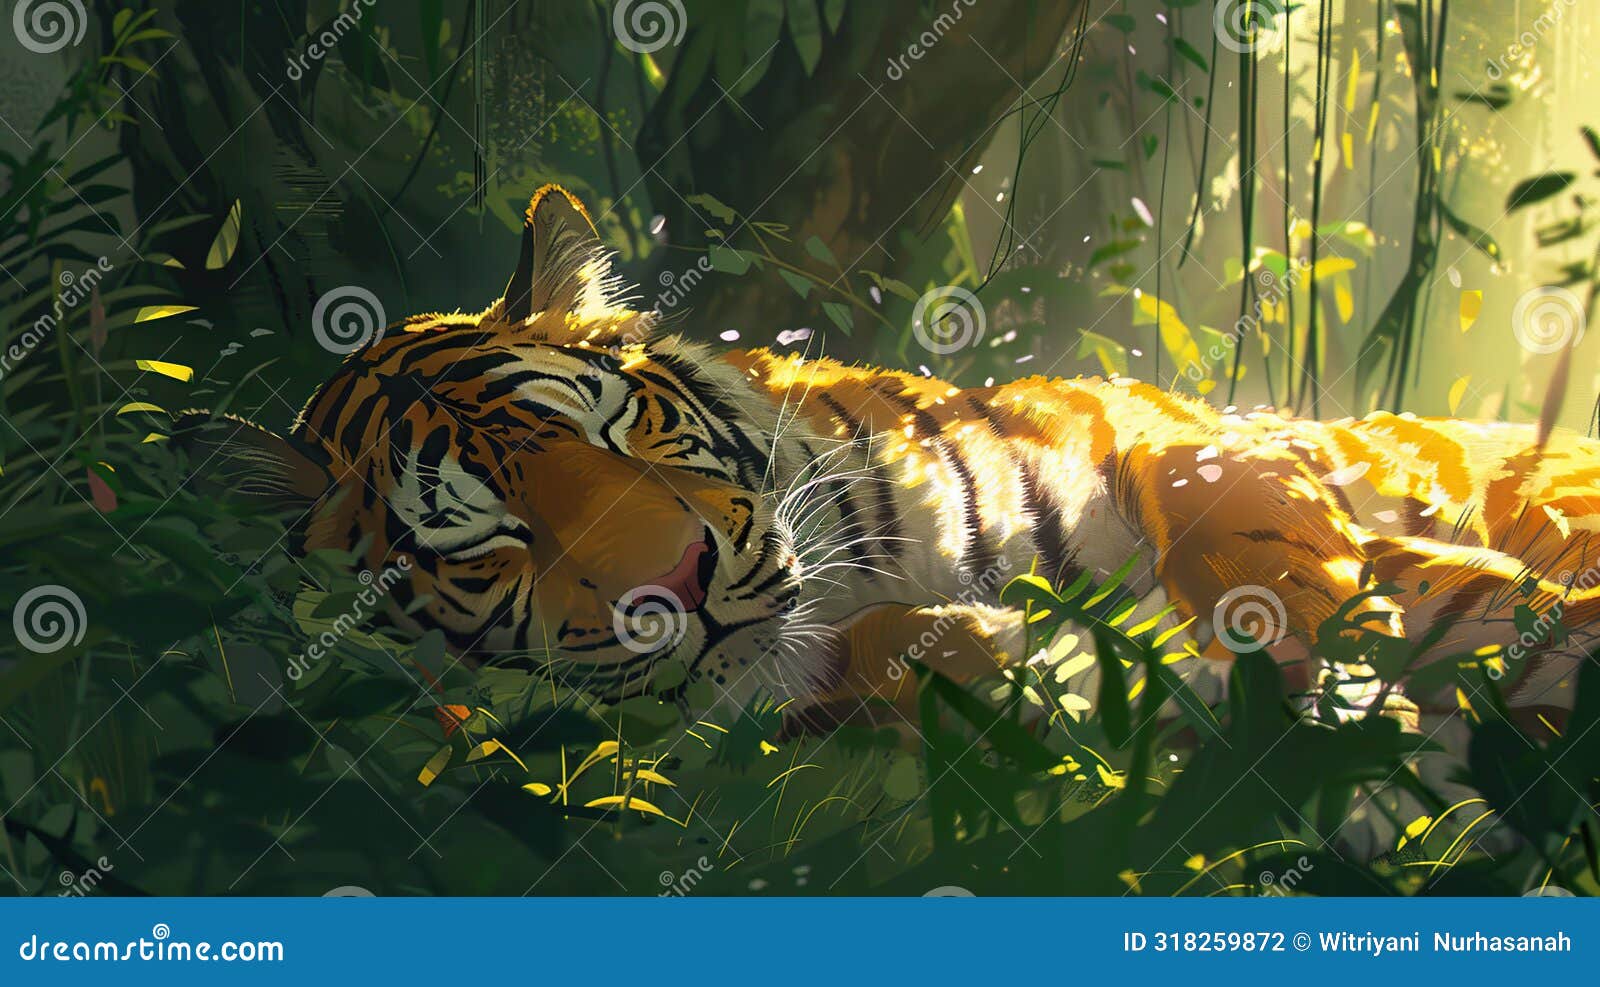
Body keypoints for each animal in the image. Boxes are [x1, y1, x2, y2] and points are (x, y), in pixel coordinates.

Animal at [177, 184, 1600, 740]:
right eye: (482, 538)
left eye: (612, 429)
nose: (676, 590)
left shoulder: (1148, 428)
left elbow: (1261, 552)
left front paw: (1339, 674)